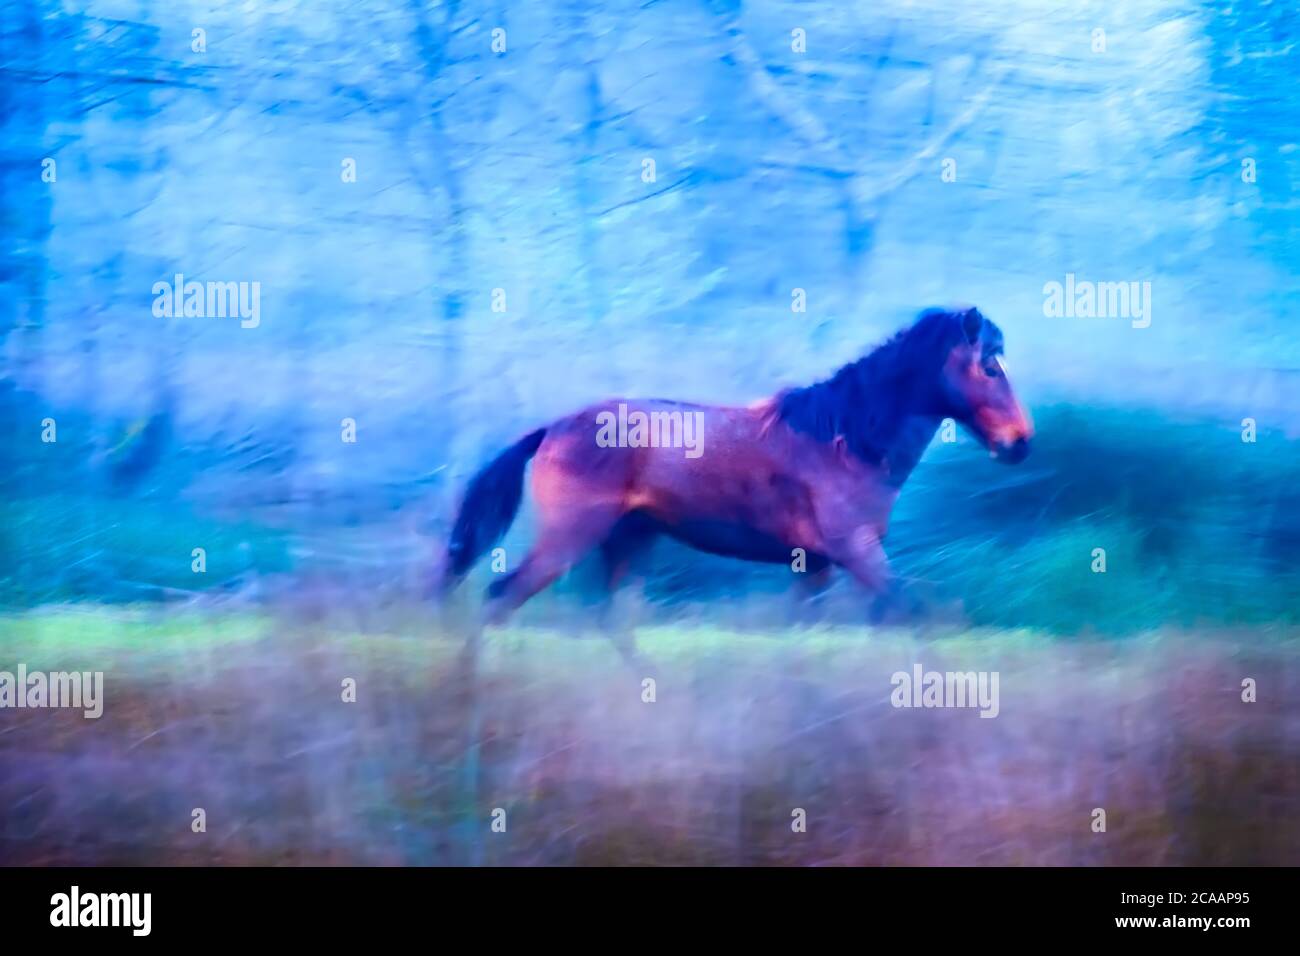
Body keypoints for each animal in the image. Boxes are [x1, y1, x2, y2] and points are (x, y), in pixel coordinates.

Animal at [439, 307, 1033, 624]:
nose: (1020, 442)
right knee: (500, 599)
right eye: (988, 366)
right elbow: (906, 610)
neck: (844, 441)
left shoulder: (814, 567)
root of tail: (553, 428)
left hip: (628, 541)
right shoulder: (857, 552)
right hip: (569, 540)